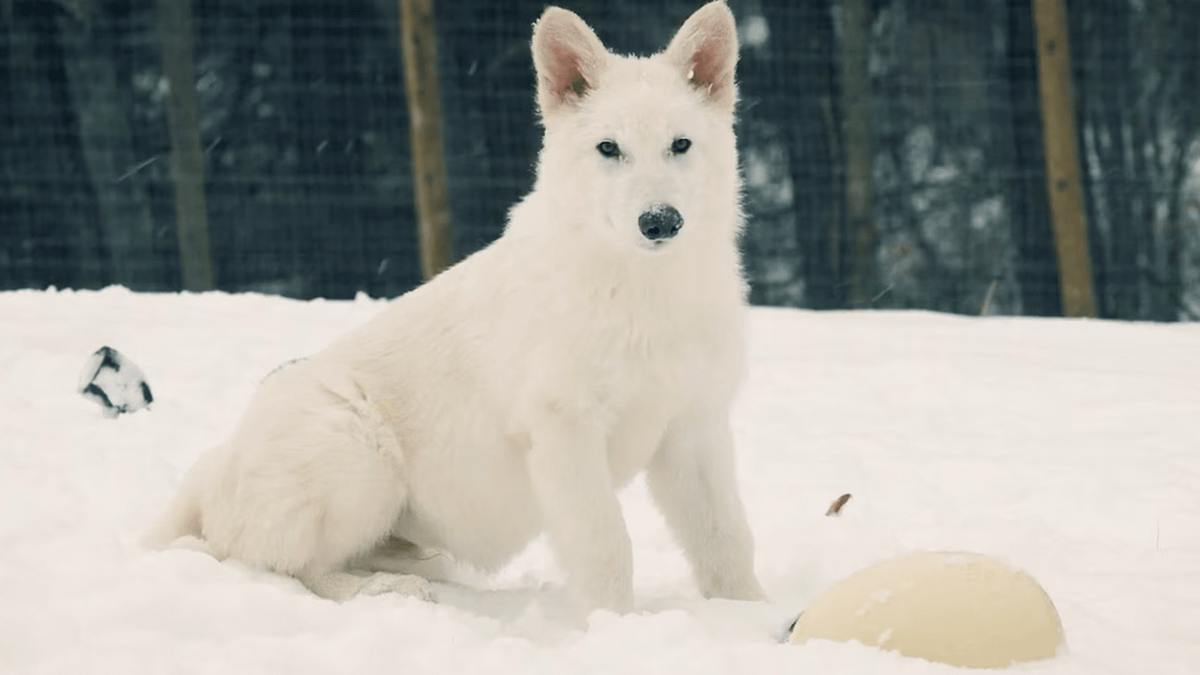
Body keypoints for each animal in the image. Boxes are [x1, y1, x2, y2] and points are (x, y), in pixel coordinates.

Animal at [144, 1, 765, 614]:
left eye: (680, 145)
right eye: (609, 149)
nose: (660, 222)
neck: (642, 290)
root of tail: (212, 471)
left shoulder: (693, 429)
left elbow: (726, 540)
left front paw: (752, 616)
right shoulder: (566, 430)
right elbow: (605, 545)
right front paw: (611, 626)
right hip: (358, 453)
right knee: (293, 570)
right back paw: (387, 593)